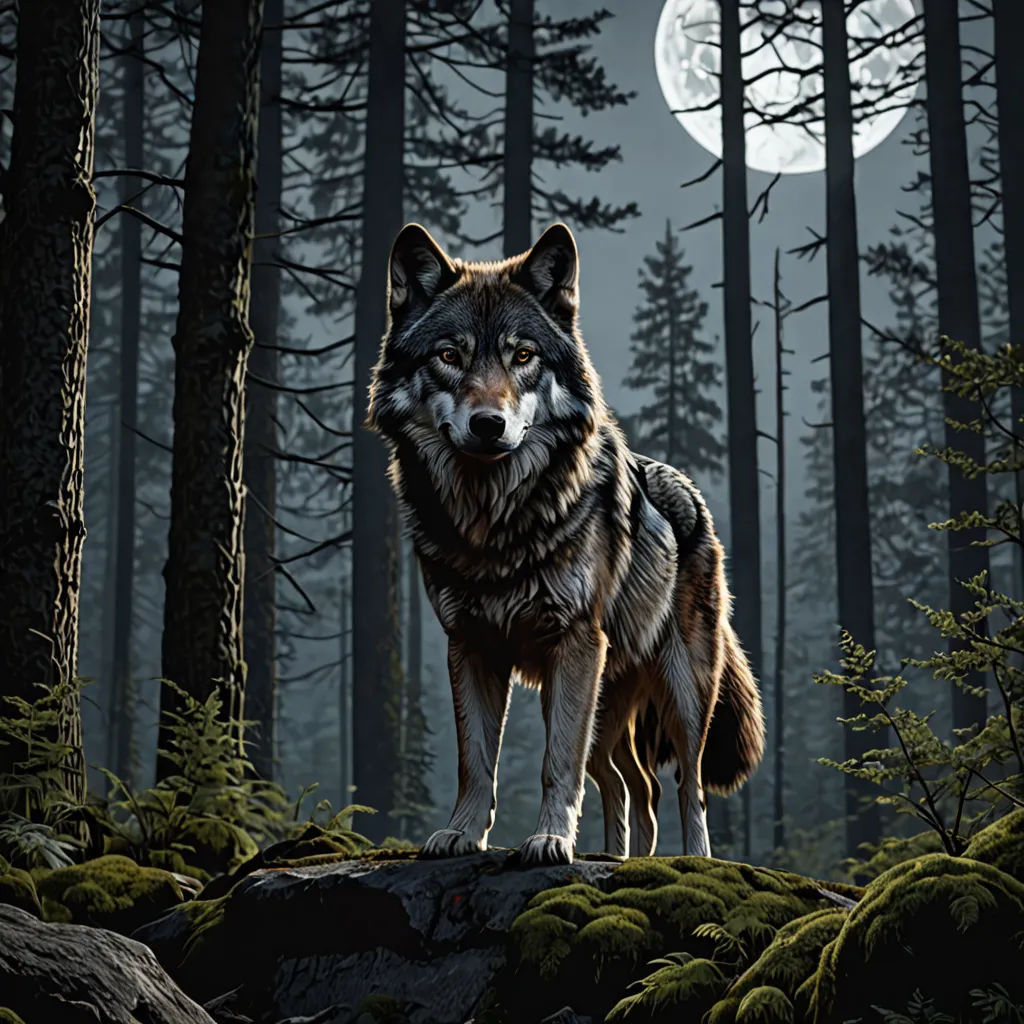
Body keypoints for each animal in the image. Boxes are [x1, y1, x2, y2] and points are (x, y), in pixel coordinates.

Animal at [366, 221, 764, 865]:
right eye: (450, 356)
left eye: (522, 356)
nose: (488, 424)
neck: (494, 523)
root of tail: (689, 492)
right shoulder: (469, 645)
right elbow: (477, 762)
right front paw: (461, 834)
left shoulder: (575, 643)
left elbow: (557, 763)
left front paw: (550, 840)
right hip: (610, 702)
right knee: (634, 784)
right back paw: (623, 859)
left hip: (681, 688)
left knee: (689, 784)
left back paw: (691, 861)